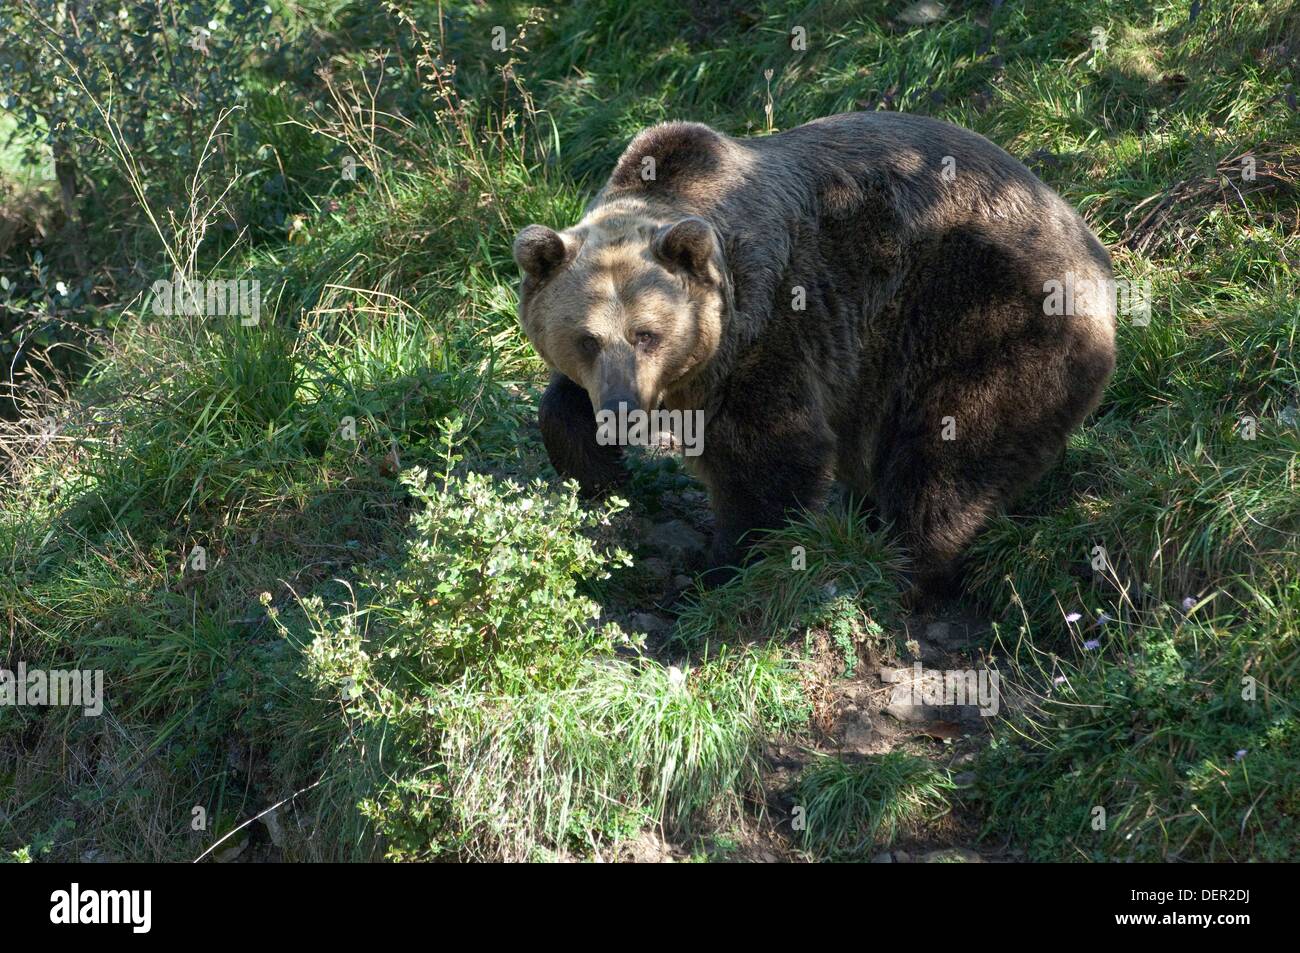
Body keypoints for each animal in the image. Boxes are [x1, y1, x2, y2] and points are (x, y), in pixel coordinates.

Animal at [513, 111, 1116, 600]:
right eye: (587, 338)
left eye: (647, 334)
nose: (621, 413)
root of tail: (1098, 262)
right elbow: (564, 403)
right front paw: (597, 470)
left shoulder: (774, 329)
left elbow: (771, 457)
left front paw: (724, 567)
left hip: (982, 310)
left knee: (950, 447)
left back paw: (902, 562)